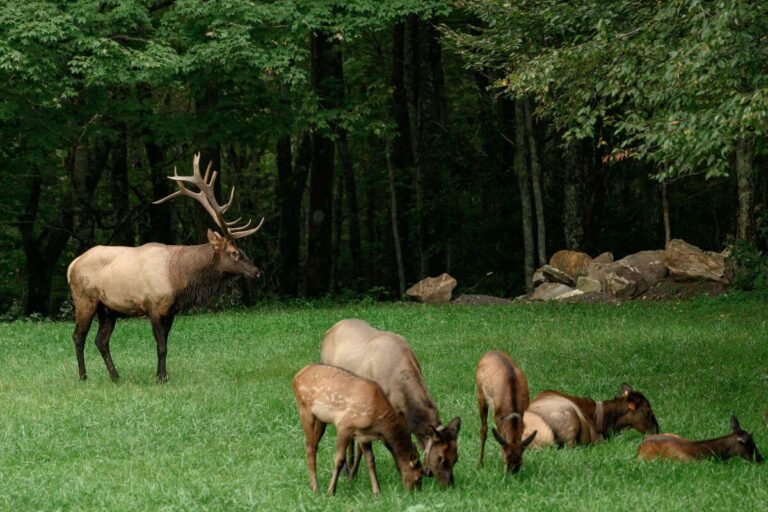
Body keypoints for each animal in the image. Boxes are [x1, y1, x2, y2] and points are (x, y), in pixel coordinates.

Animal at [67, 154, 263, 382]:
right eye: (234, 252)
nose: (256, 271)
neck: (178, 278)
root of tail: (71, 265)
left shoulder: (170, 311)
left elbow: (164, 346)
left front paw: (160, 374)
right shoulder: (153, 306)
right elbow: (161, 346)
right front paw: (162, 378)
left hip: (107, 309)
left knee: (101, 340)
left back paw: (115, 376)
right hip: (84, 299)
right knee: (78, 336)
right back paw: (83, 376)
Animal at [292, 364, 423, 496]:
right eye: (419, 476)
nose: (415, 492)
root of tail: (296, 376)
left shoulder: (364, 435)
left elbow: (370, 460)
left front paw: (377, 491)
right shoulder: (344, 426)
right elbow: (339, 459)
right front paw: (331, 491)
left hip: (321, 419)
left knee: (311, 443)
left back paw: (312, 484)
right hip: (304, 409)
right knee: (310, 447)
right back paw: (315, 487)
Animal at [320, 319, 461, 488]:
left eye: (456, 457)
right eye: (440, 457)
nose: (449, 485)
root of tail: (329, 331)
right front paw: (352, 477)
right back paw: (347, 469)